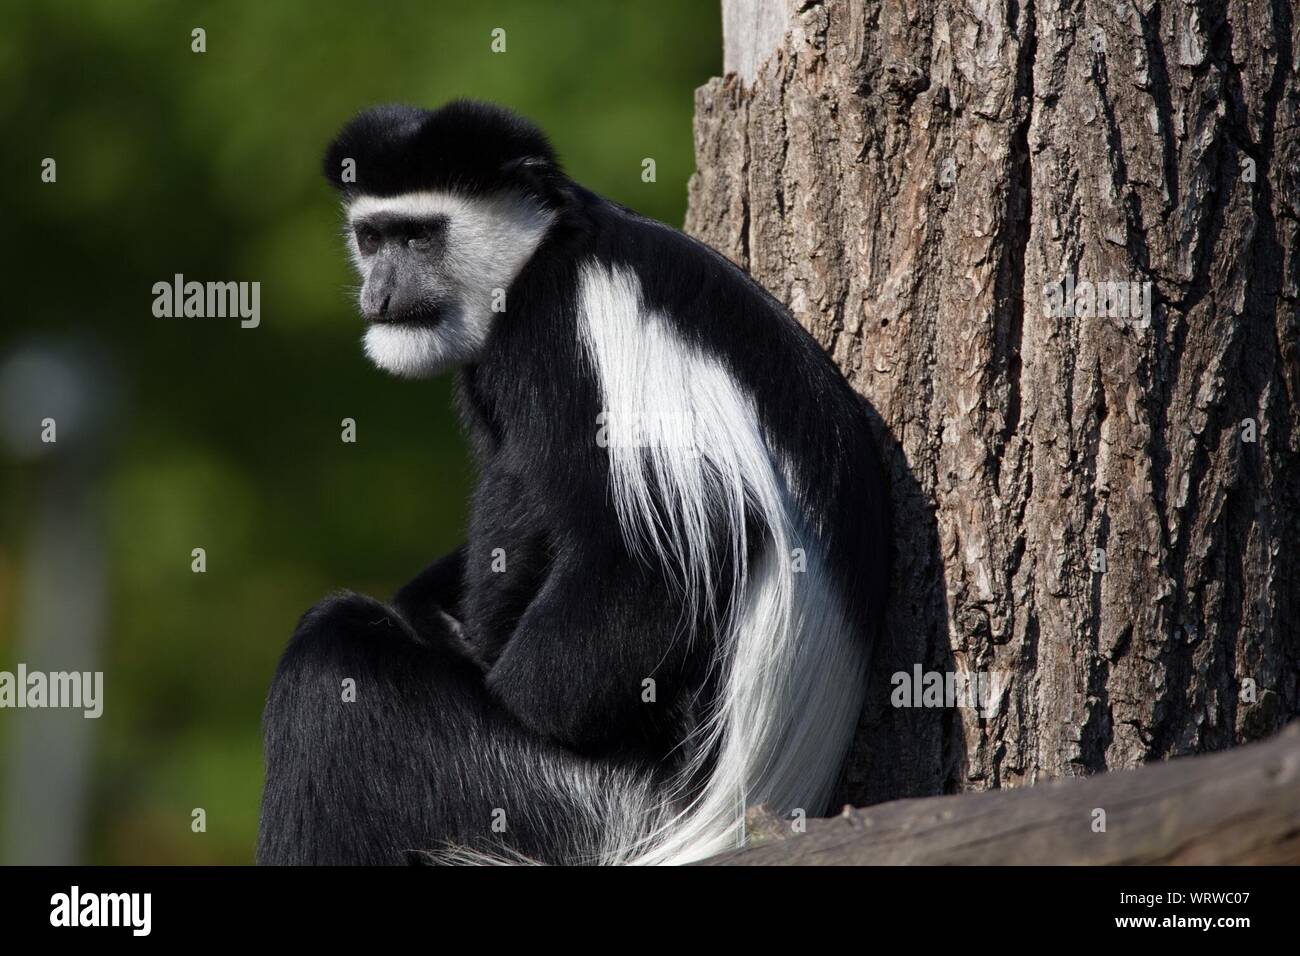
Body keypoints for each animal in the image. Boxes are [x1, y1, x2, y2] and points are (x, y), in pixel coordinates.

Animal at [257, 100, 890, 865]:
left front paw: (508, 696)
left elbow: (665, 546)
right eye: (372, 236)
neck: (543, 253)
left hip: (575, 804)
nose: (378, 294)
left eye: (419, 235)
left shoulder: (564, 332)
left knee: (333, 665)